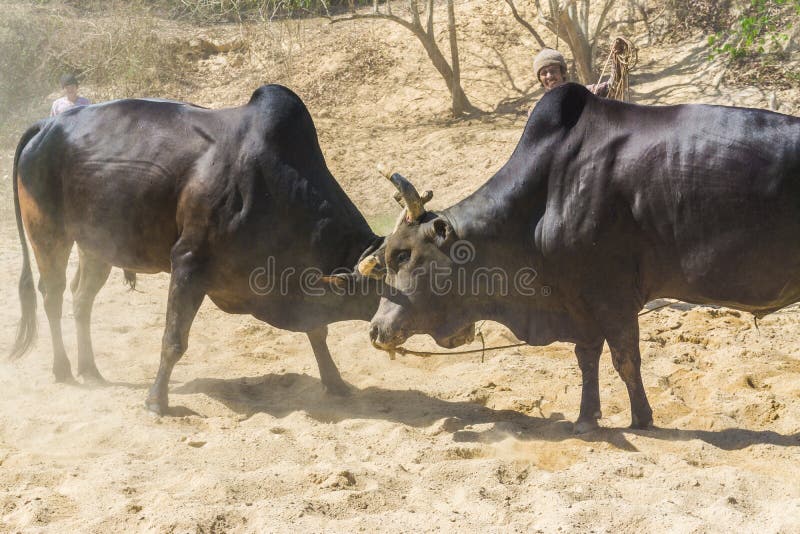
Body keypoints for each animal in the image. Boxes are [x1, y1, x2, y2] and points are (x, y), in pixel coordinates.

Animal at [9, 84, 383, 415]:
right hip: (48, 233)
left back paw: (90, 369)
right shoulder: (188, 263)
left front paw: (335, 383)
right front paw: (156, 401)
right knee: (52, 295)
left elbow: (317, 330)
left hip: (97, 245)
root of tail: (47, 126)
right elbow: (173, 340)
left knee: (81, 299)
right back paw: (63, 369)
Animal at [358, 83, 800, 433]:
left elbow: (625, 360)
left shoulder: (612, 297)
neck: (544, 199)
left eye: (403, 255)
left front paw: (642, 419)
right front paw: (587, 418)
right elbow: (587, 358)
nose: (376, 330)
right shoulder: (577, 301)